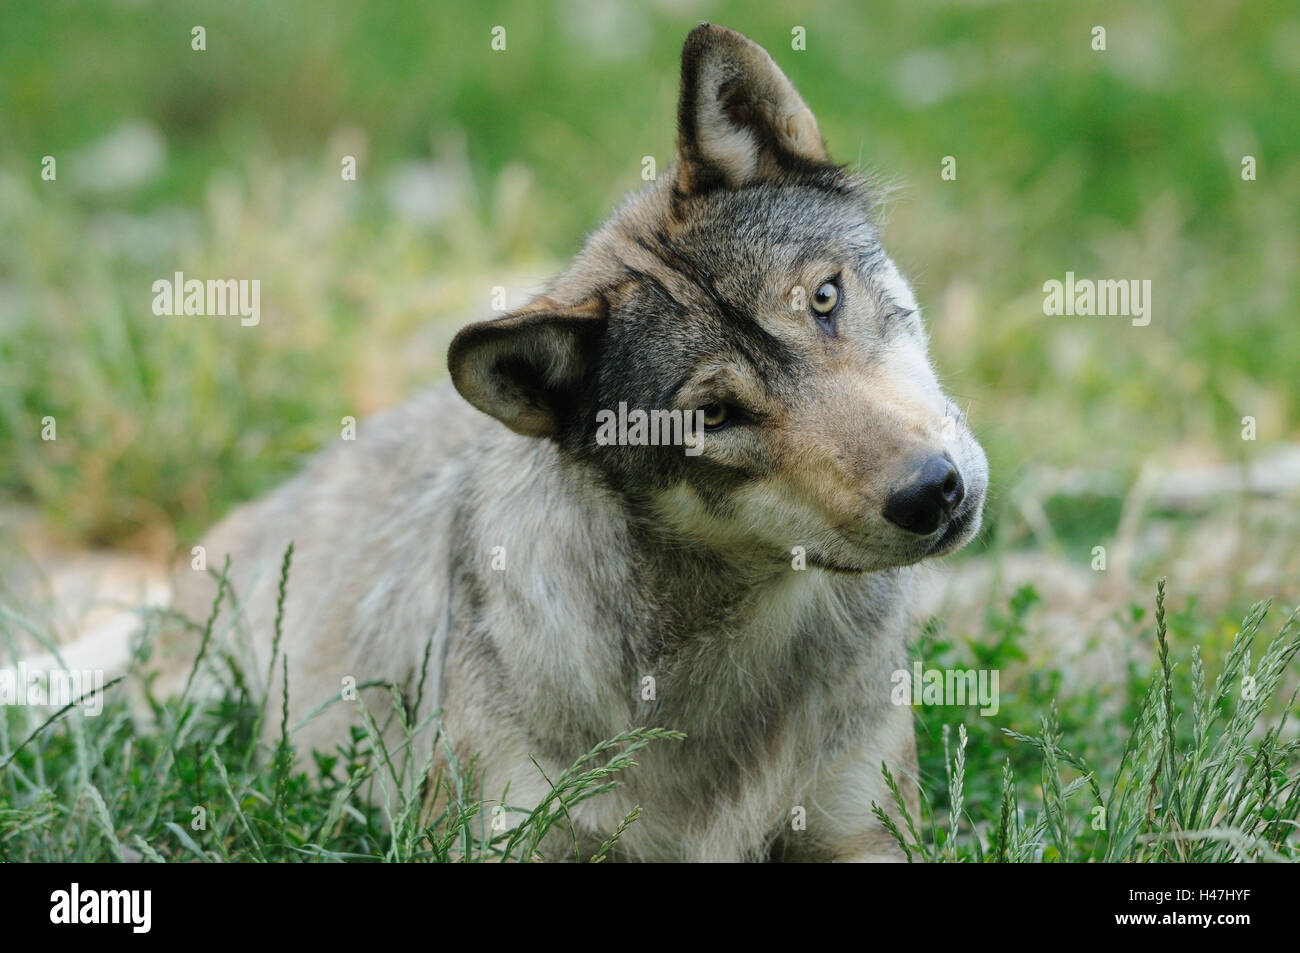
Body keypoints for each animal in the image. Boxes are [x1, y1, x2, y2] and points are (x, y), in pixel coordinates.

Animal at [26, 24, 988, 862]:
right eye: (714, 417)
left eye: (824, 299)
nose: (932, 490)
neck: (722, 652)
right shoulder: (505, 837)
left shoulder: (863, 832)